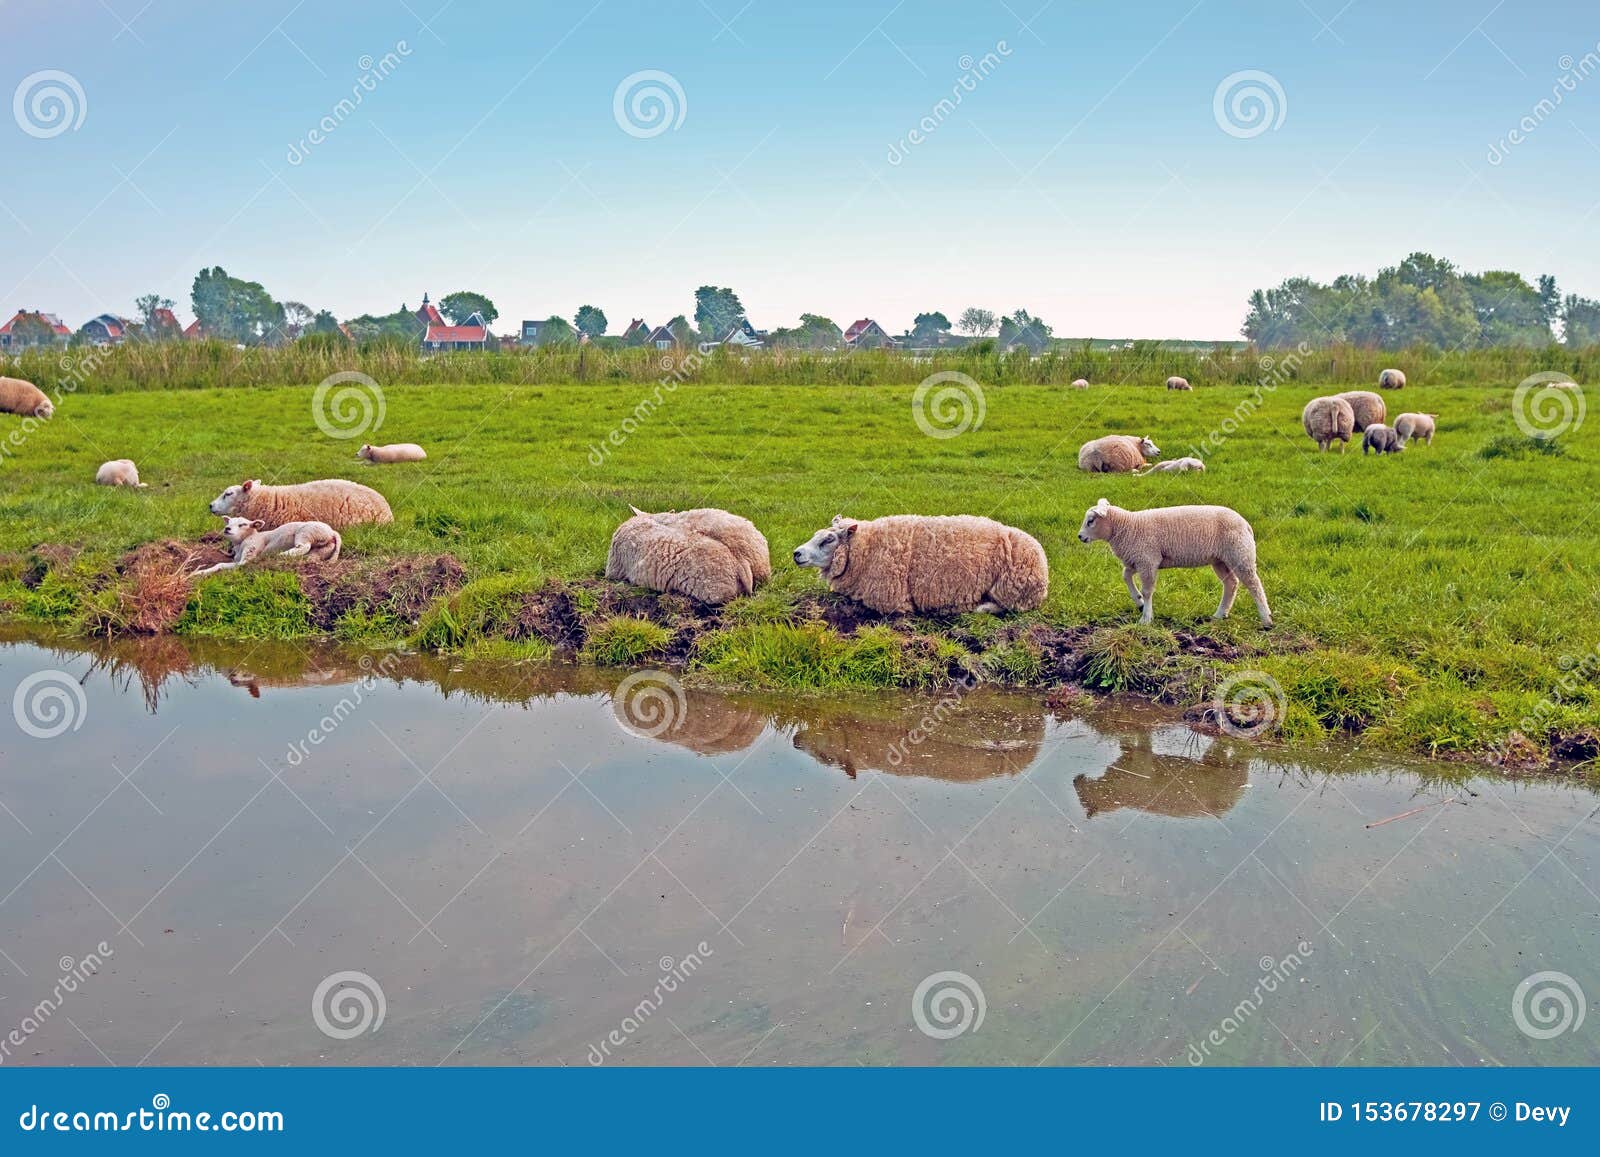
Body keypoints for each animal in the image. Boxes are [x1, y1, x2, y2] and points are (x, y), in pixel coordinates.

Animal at [192, 516, 342, 576]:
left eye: (243, 524)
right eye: (229, 522)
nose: (227, 528)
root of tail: (332, 532)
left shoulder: (249, 555)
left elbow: (226, 565)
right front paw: (199, 572)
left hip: (306, 532)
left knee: (304, 546)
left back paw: (282, 555)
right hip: (323, 550)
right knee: (311, 556)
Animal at [792, 514, 1048, 615]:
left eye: (828, 540)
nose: (796, 553)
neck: (866, 548)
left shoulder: (890, 600)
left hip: (1011, 592)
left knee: (1006, 607)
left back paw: (977, 607)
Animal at [1077, 498, 1271, 627]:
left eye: (1091, 521)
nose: (1080, 537)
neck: (1127, 526)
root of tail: (1245, 524)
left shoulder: (1148, 560)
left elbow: (1148, 591)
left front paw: (1146, 618)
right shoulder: (1138, 560)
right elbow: (1125, 576)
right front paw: (1138, 601)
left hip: (1240, 554)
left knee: (1253, 584)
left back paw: (1266, 619)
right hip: (1220, 559)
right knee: (1231, 583)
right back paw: (1220, 614)